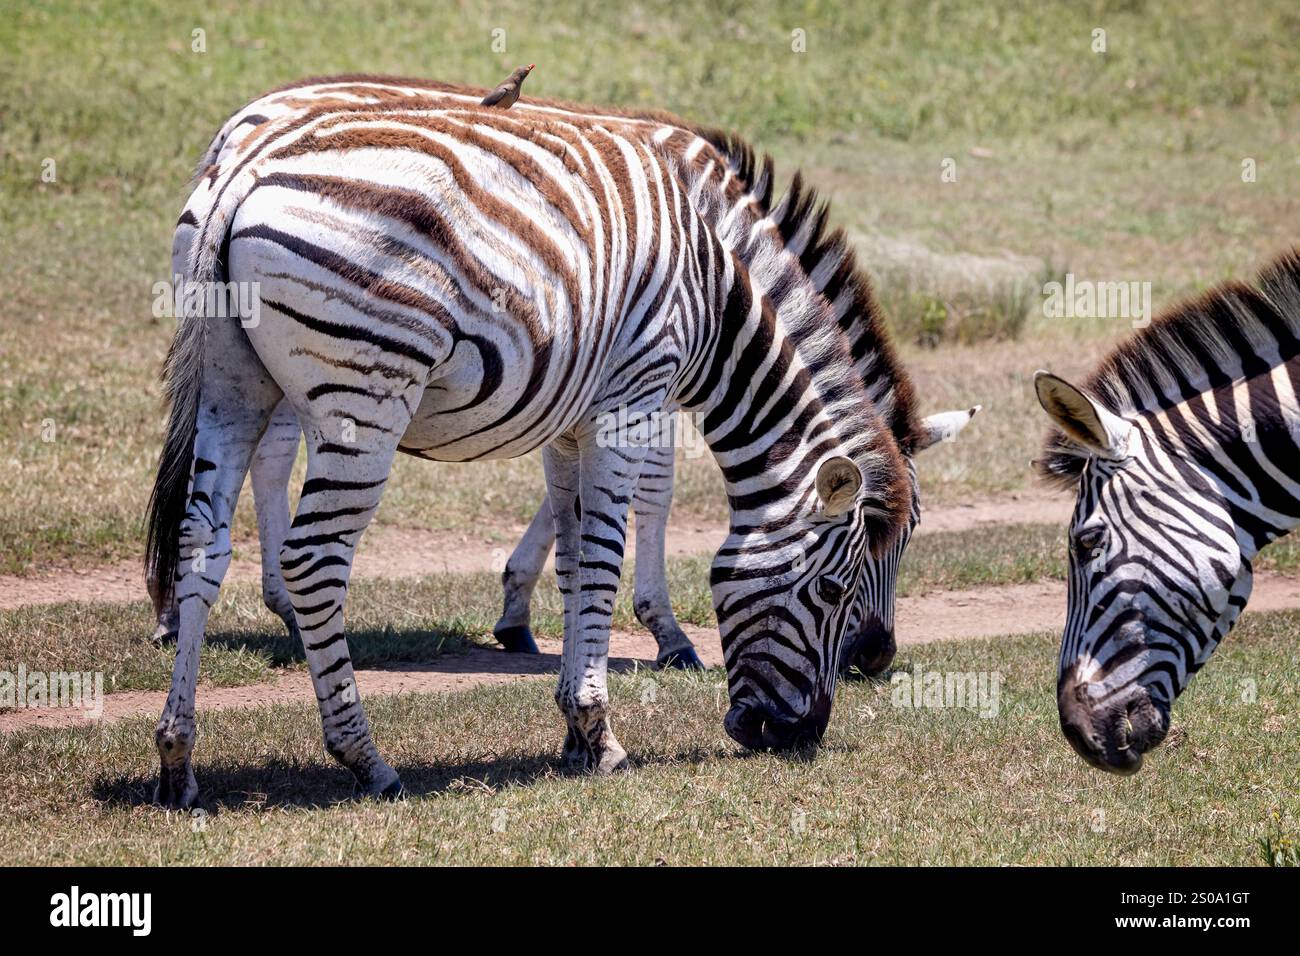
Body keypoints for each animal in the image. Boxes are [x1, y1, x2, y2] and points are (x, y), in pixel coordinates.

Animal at [146, 97, 913, 807]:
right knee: (314, 562)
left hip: (231, 386)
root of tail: (247, 165)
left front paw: (575, 728)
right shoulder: (631, 402)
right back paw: (366, 759)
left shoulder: (569, 423)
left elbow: (573, 564)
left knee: (200, 544)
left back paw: (177, 759)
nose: (801, 734)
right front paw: (604, 732)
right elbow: (605, 557)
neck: (713, 295)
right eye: (834, 590)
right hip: (364, 398)